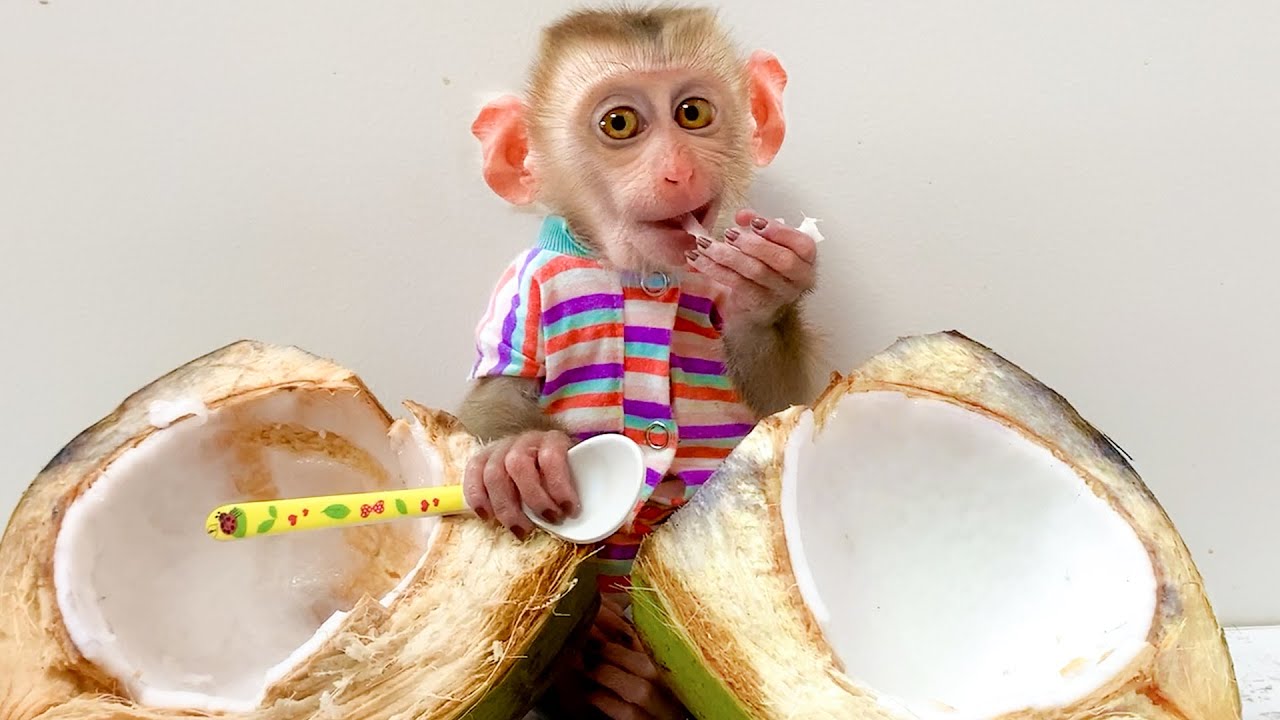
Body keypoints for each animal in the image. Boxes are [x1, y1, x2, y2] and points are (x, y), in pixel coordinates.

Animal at [458, 5, 822, 718]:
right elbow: (498, 391)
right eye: (620, 124)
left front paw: (763, 292)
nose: (679, 171)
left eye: (692, 113)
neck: (645, 272)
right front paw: (516, 459)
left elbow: (786, 403)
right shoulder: (522, 287)